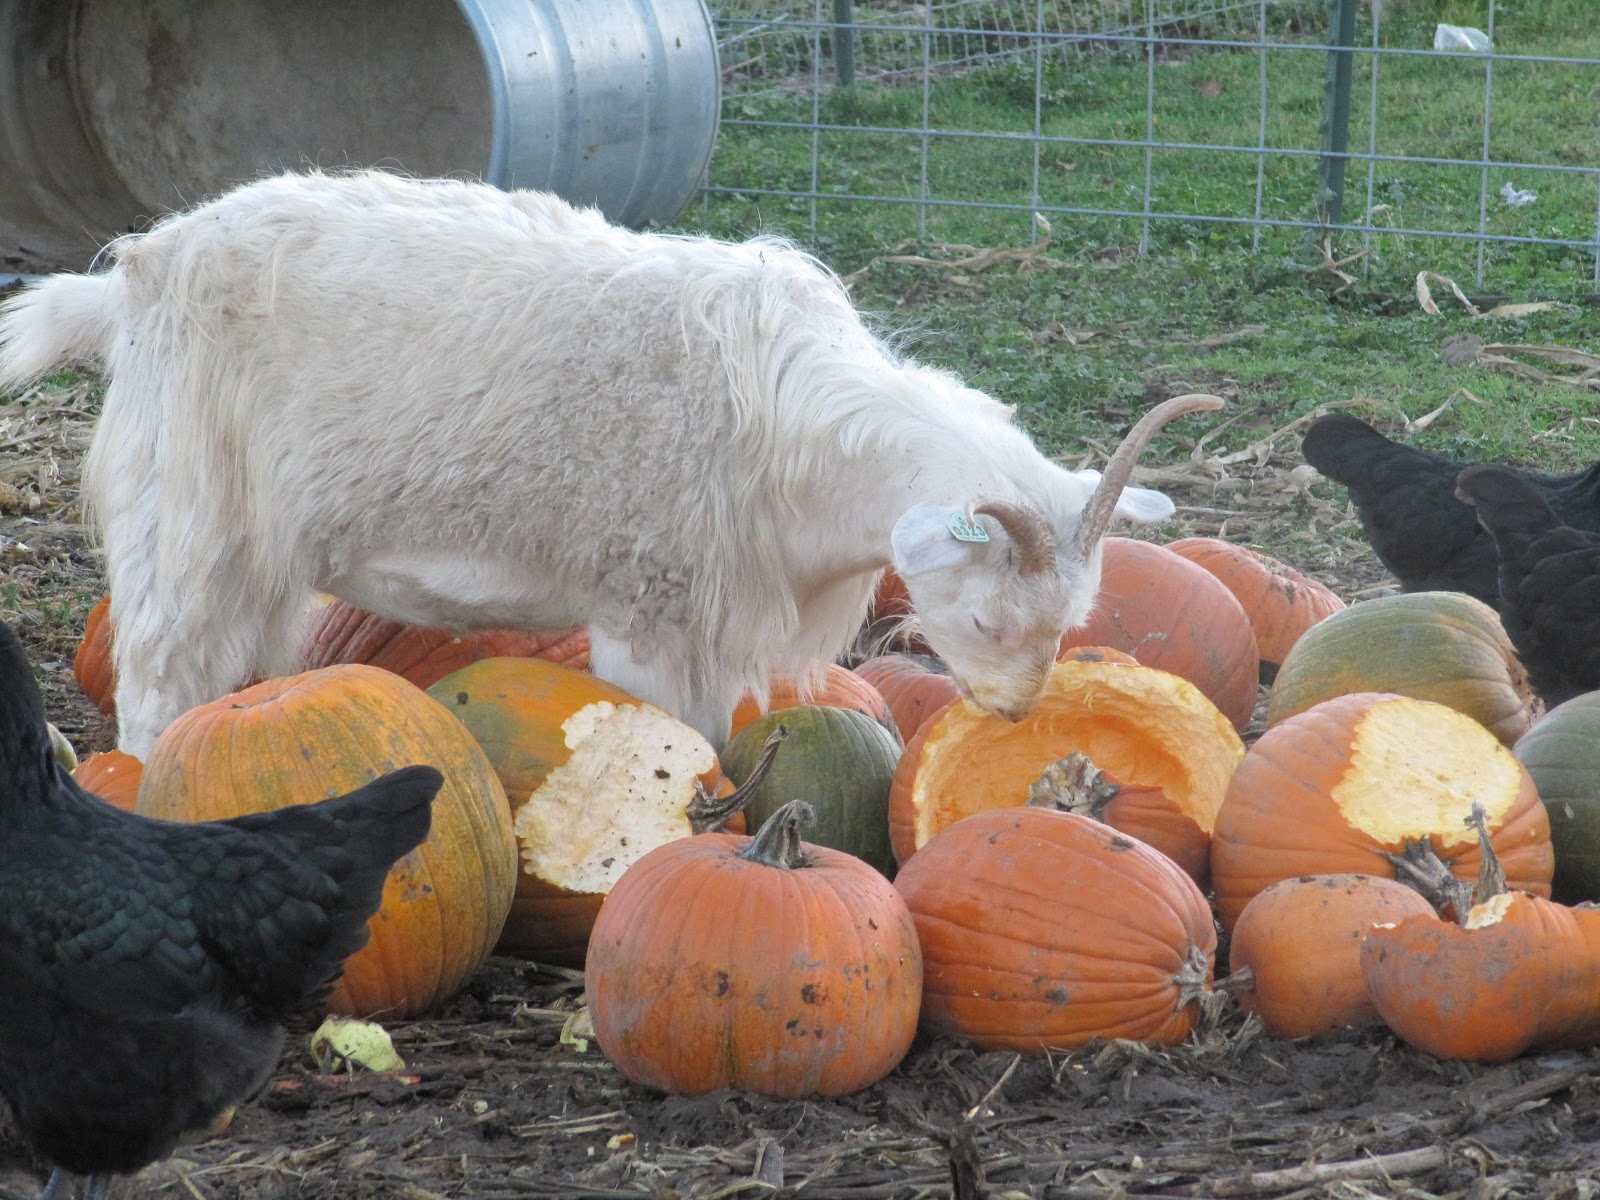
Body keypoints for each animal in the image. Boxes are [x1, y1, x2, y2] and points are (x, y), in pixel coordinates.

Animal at [0, 170, 1221, 758]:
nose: (1015, 718)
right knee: (161, 672)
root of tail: (130, 279)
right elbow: (672, 742)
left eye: (1072, 624)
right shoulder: (649, 600)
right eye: (981, 619)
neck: (787, 434)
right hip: (188, 507)